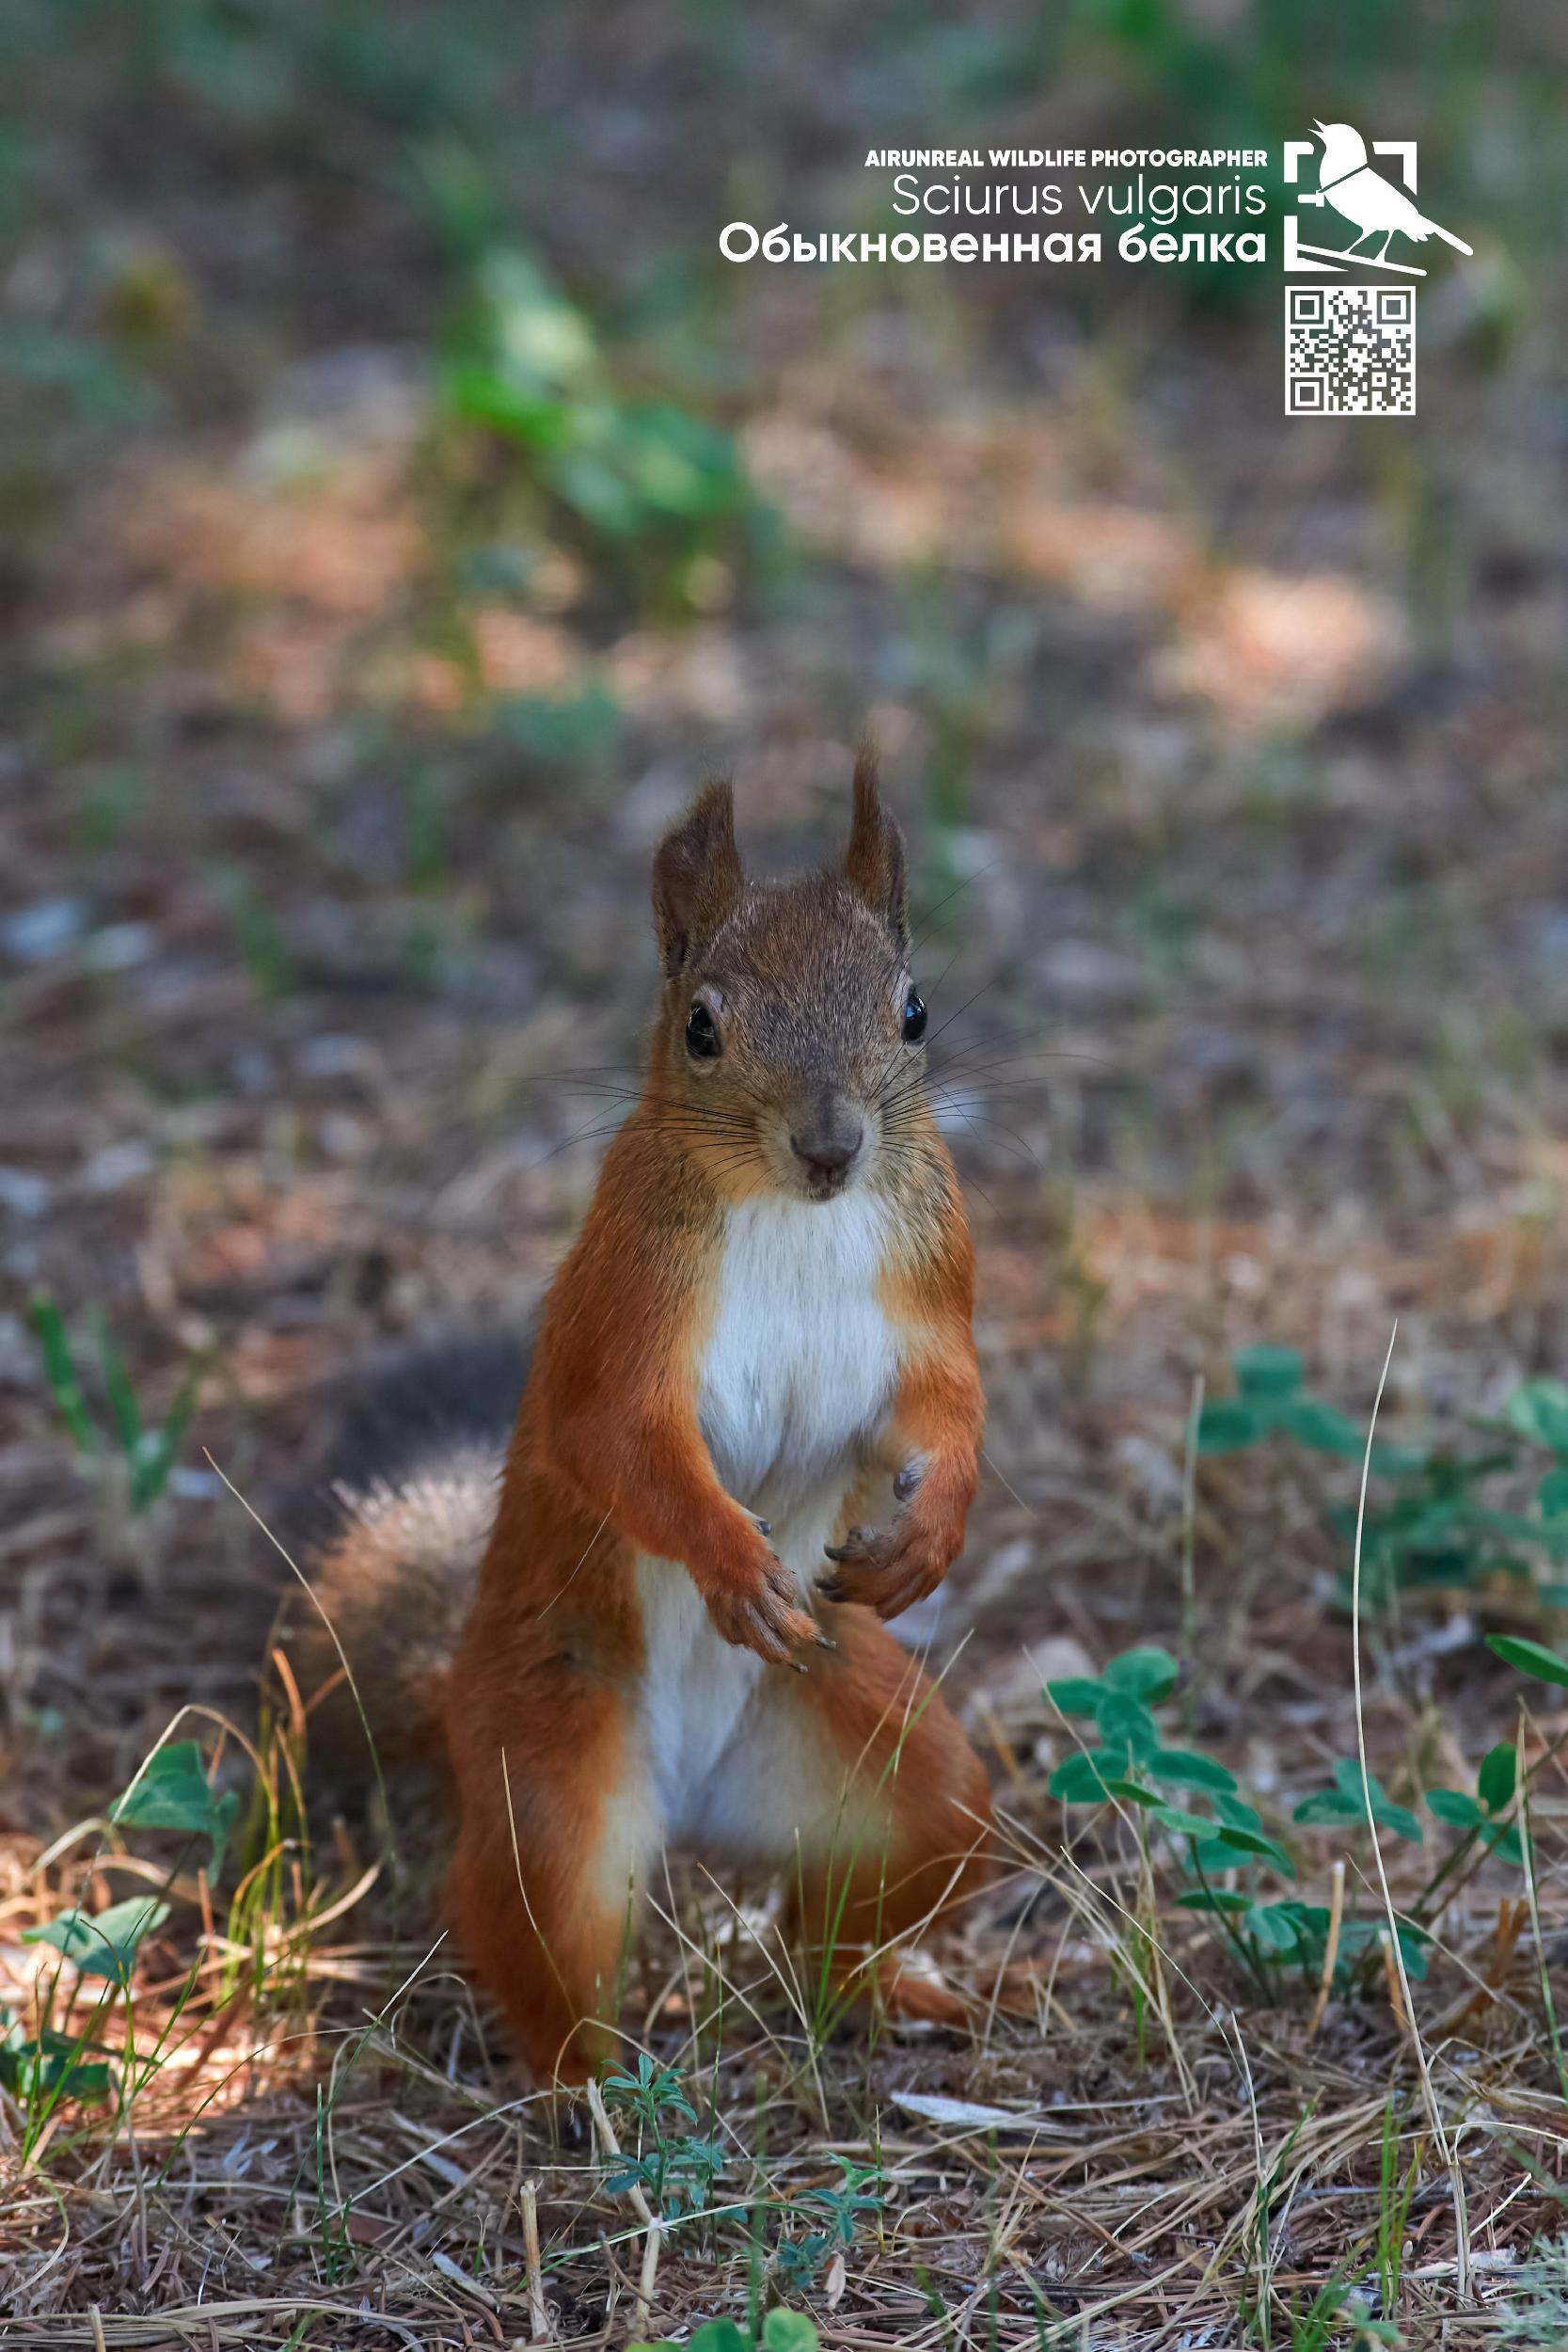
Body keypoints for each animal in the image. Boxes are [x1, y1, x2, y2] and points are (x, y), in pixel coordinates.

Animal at [295, 755, 992, 2084]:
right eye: (701, 1028)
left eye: (917, 1010)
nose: (831, 1149)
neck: (793, 1216)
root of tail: (691, 1803)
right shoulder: (625, 1311)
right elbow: (615, 1442)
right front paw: (731, 1565)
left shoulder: (931, 1292)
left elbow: (946, 1412)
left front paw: (930, 1534)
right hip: (553, 1759)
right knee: (524, 1919)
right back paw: (586, 2085)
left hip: (879, 1749)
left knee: (889, 1873)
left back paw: (879, 1992)